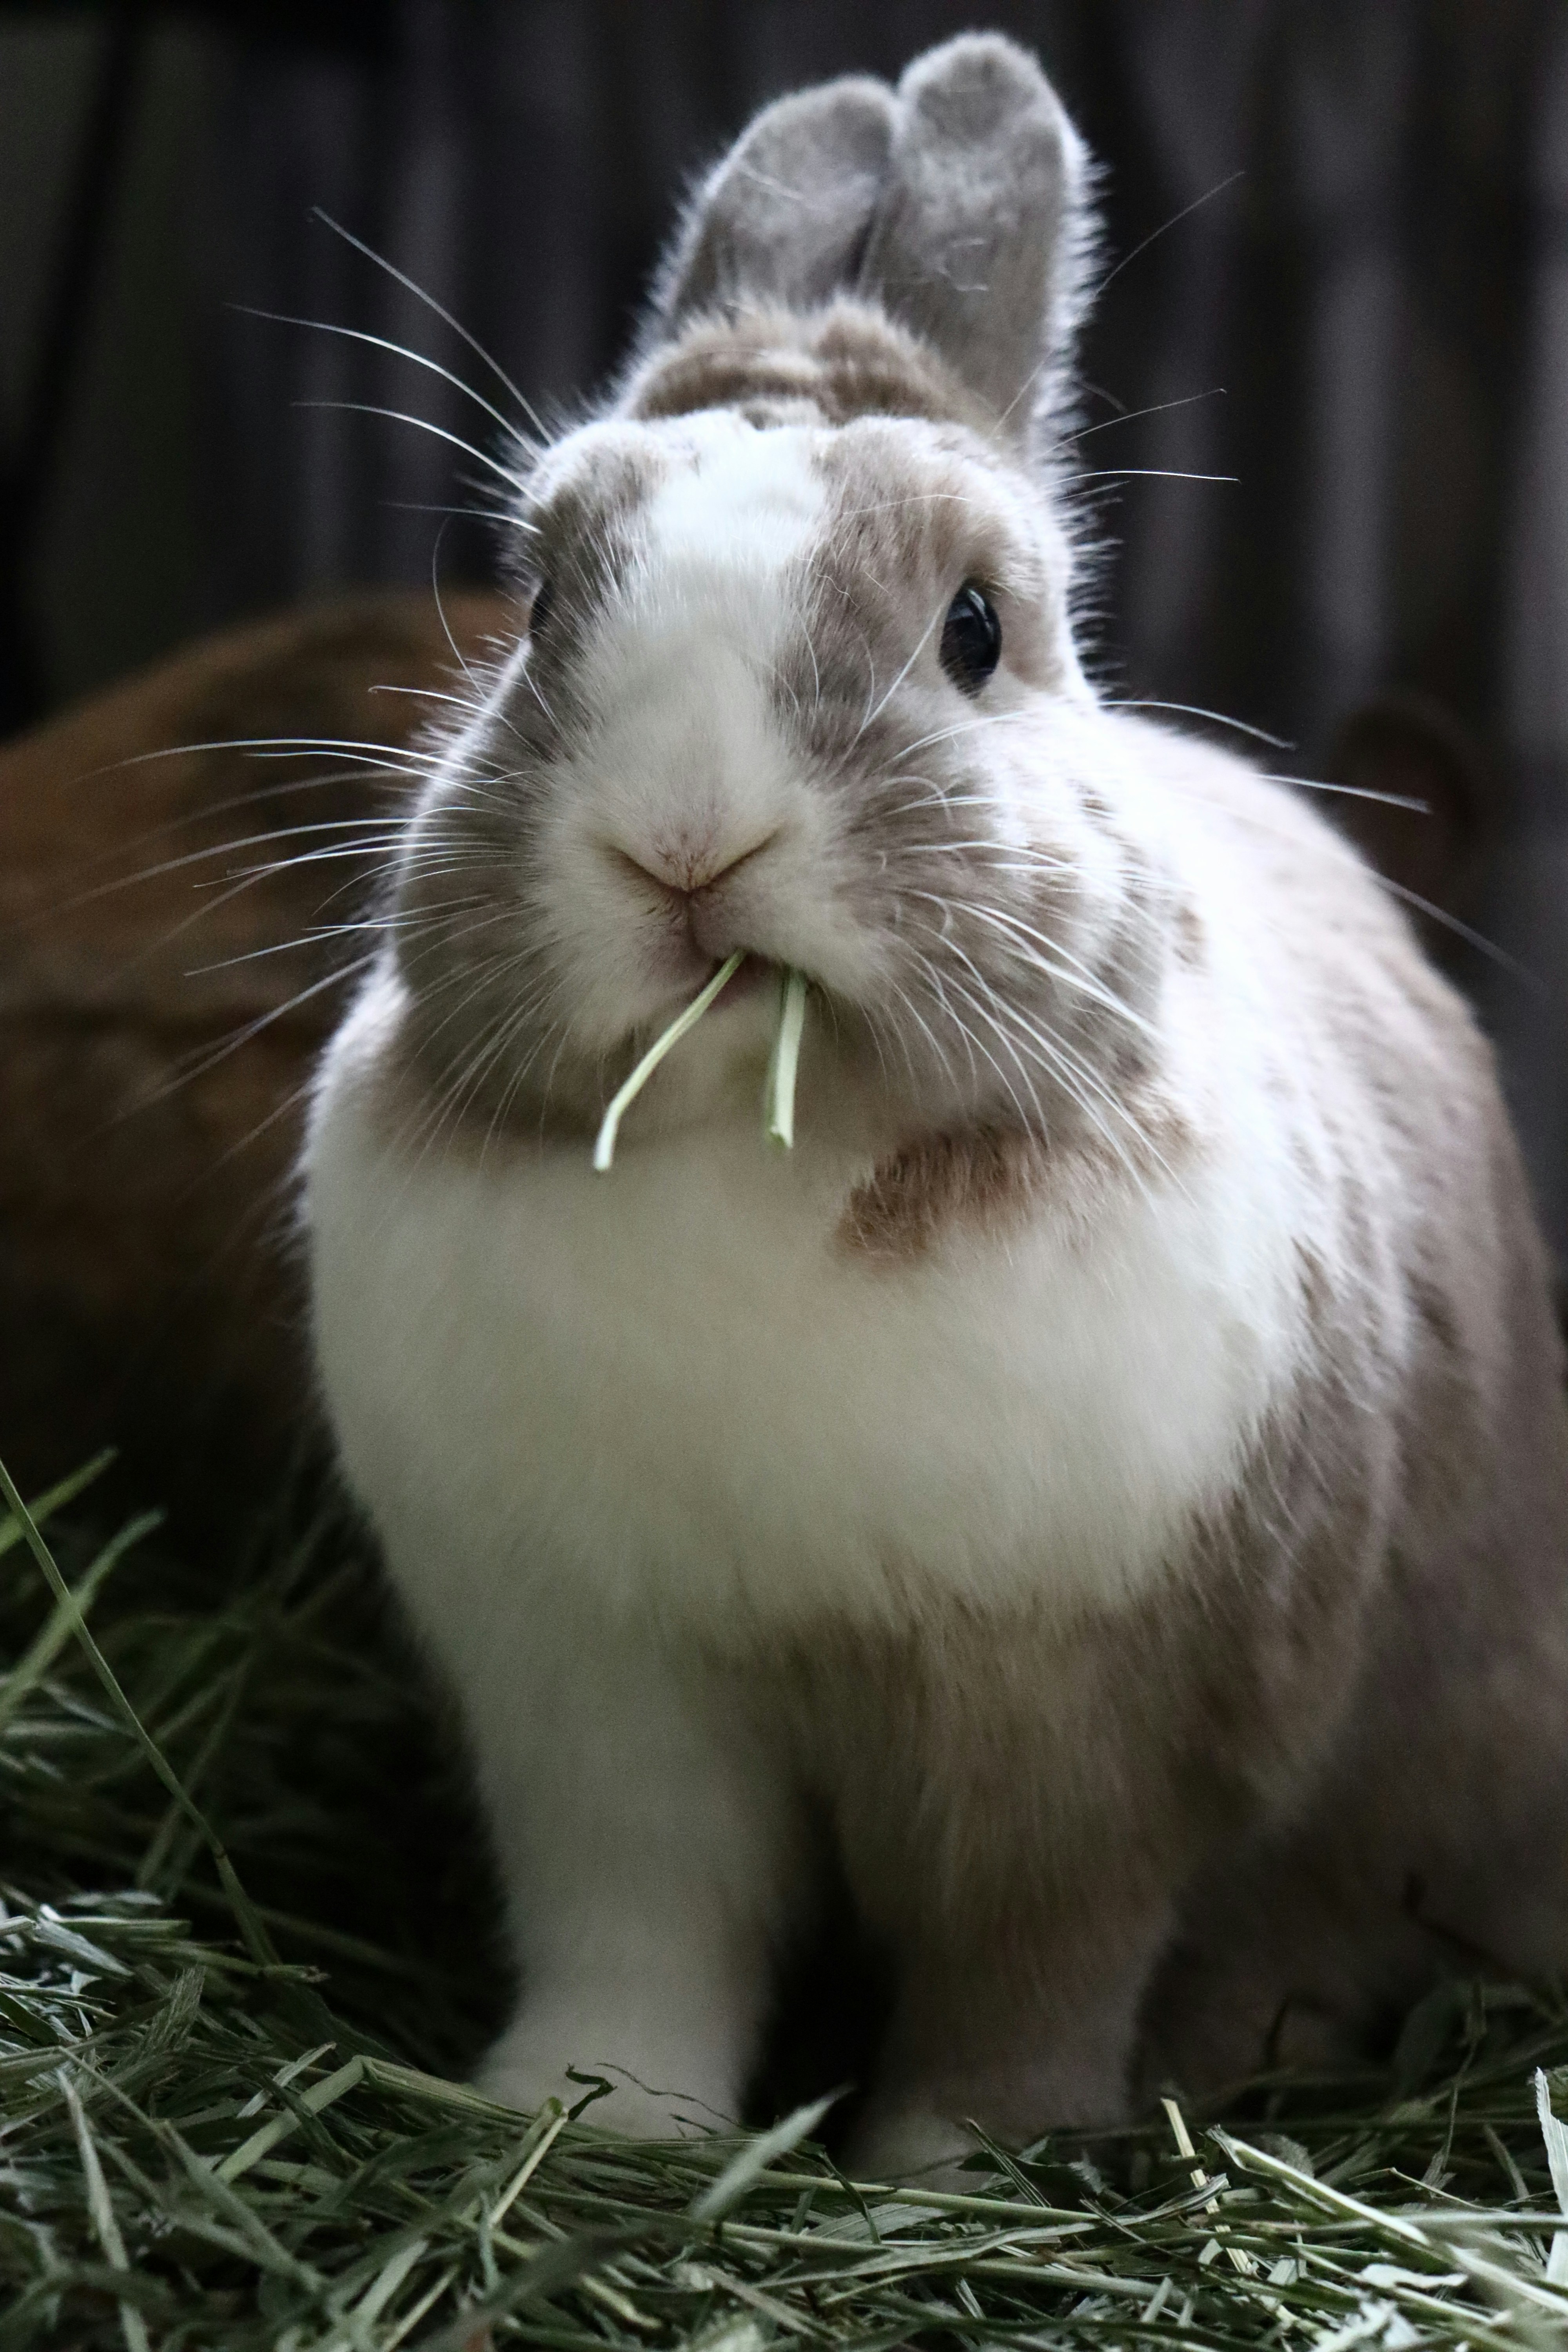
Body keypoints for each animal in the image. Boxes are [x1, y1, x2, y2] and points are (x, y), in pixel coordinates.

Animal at [304, 33, 1568, 2178]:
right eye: (540, 604)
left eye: (976, 629)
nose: (684, 842)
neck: (752, 1155)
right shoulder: (598, 1706)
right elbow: (644, 1938)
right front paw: (586, 2119)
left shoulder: (1080, 1740)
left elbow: (1024, 1976)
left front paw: (955, 2169)